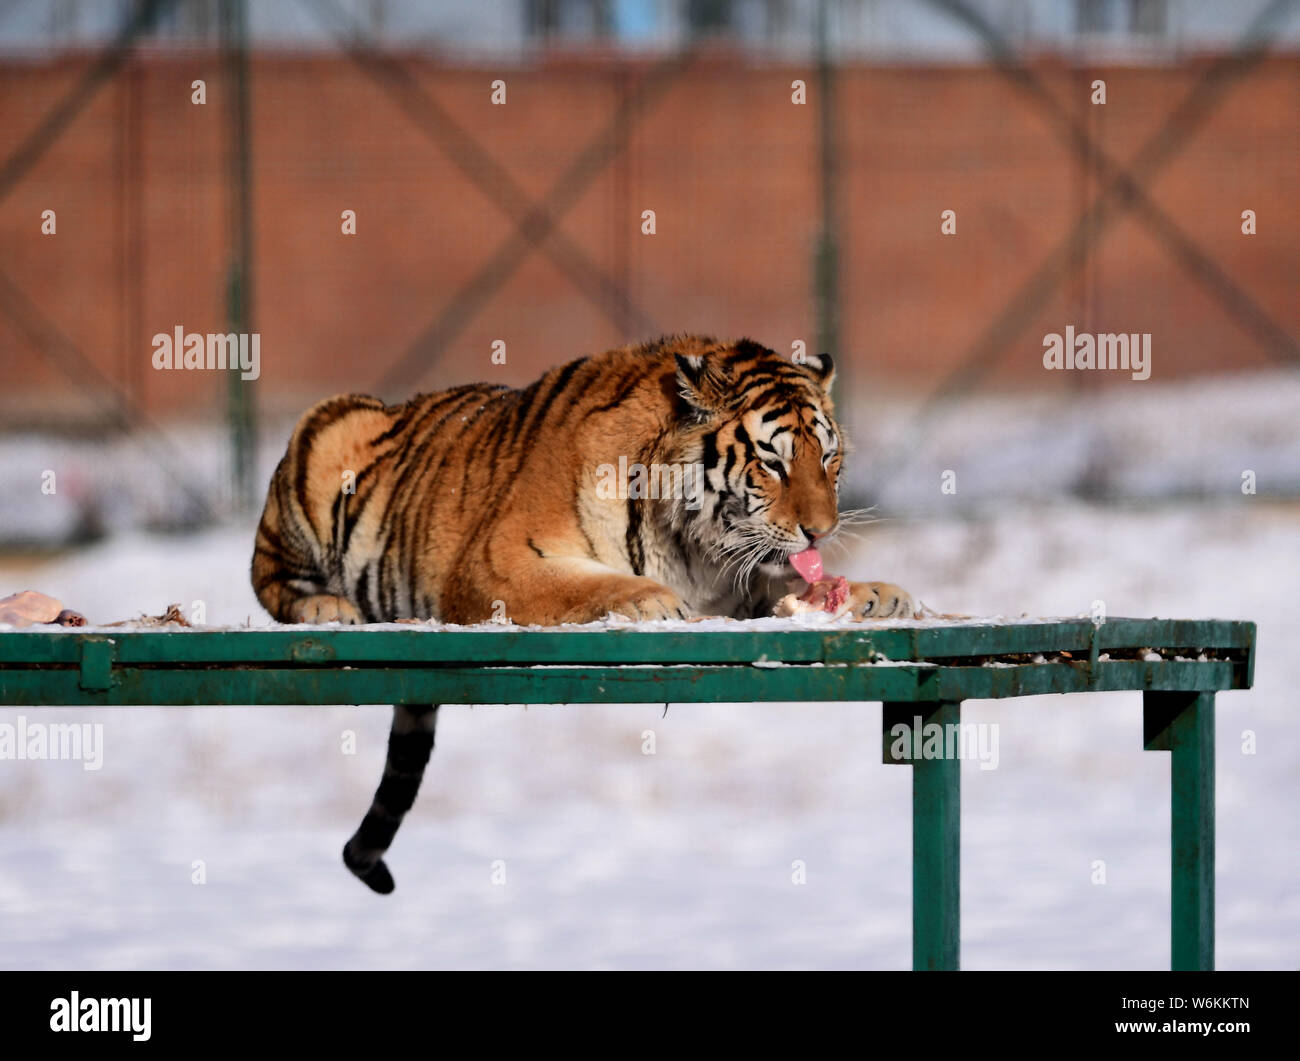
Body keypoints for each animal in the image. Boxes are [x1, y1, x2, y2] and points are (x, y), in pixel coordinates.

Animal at [251, 335, 913, 893]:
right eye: (773, 463)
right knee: (268, 579)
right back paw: (327, 605)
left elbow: (790, 586)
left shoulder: (738, 584)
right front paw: (650, 599)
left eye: (827, 459)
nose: (821, 531)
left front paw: (878, 593)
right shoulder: (498, 565)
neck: (695, 545)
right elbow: (592, 588)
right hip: (328, 433)